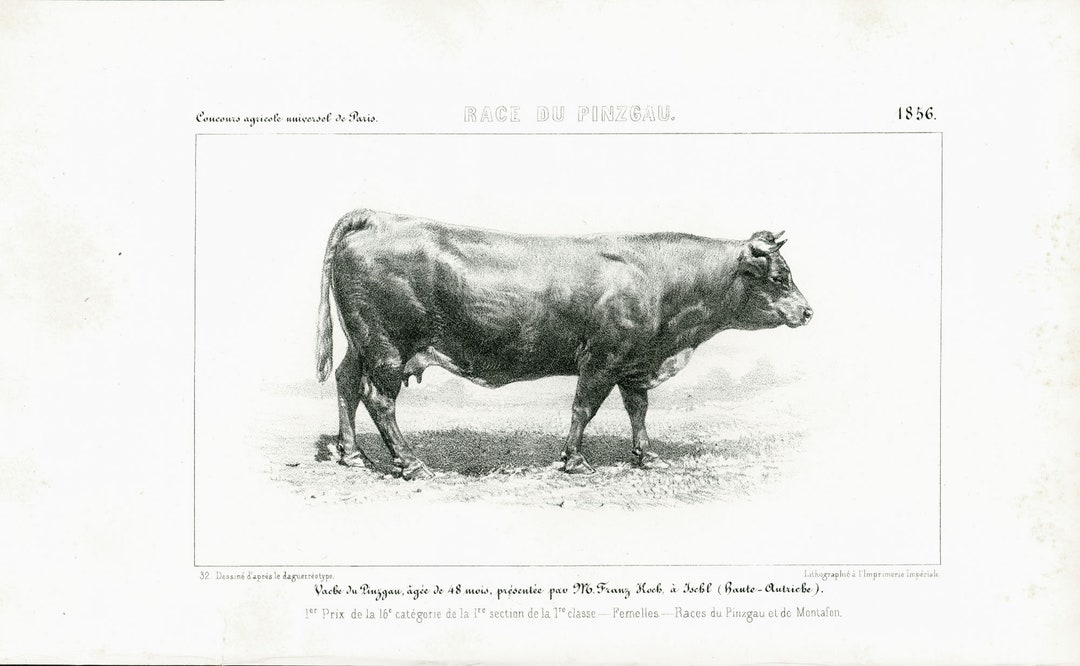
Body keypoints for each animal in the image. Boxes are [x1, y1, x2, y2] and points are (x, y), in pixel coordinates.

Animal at [315, 208, 812, 480]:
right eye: (779, 276)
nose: (808, 312)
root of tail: (378, 219)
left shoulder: (635, 362)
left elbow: (638, 409)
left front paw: (647, 456)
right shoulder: (602, 358)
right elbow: (584, 408)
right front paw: (574, 461)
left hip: (362, 343)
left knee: (345, 383)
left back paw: (352, 456)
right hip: (387, 347)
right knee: (378, 399)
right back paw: (411, 463)